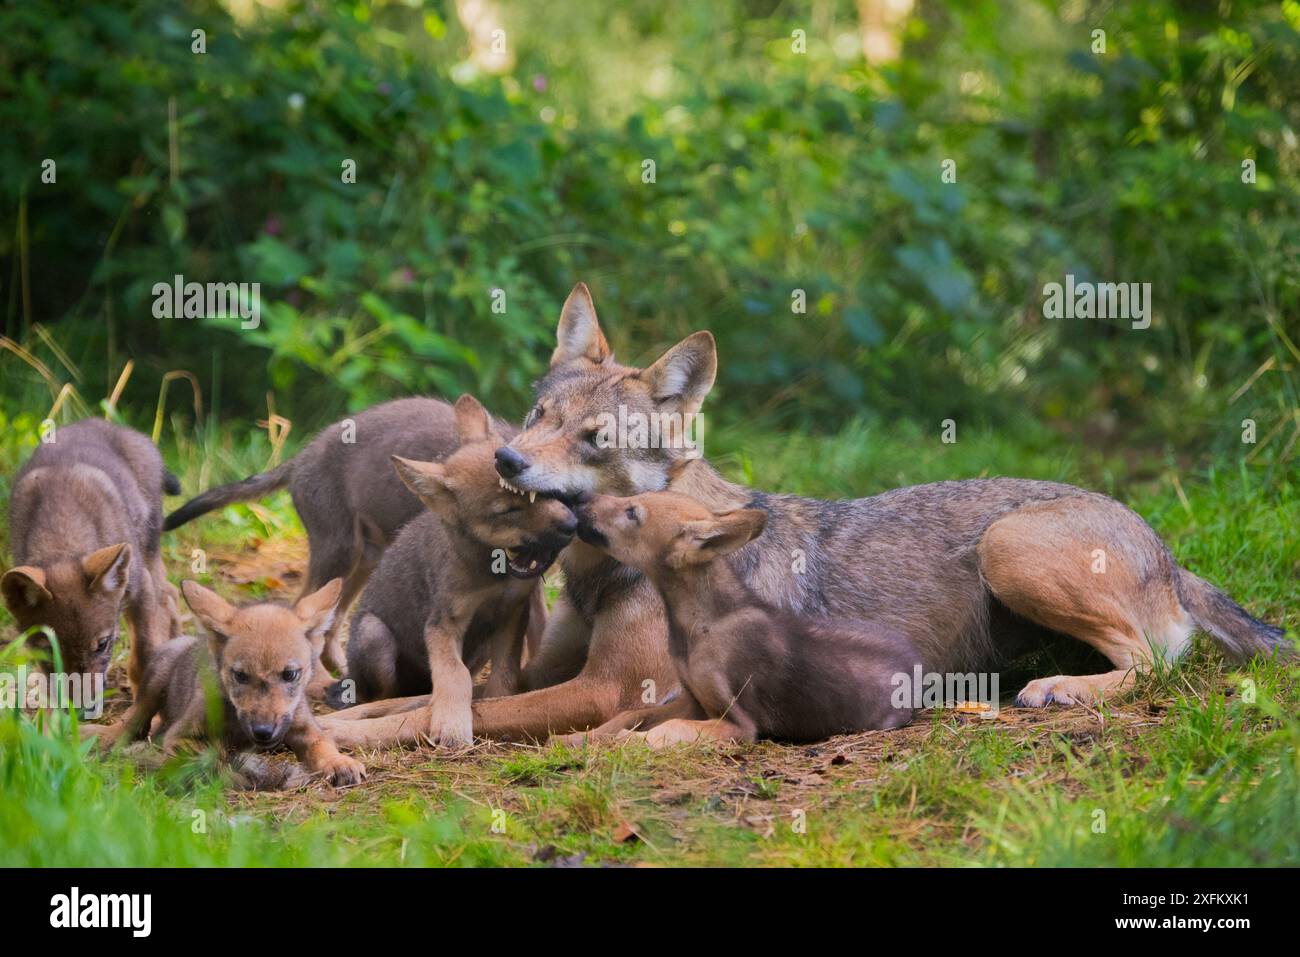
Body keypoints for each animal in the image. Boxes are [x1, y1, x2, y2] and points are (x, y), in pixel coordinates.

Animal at [3, 419, 182, 693]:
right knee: (171, 594)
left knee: (167, 598)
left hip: (148, 551)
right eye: (49, 651)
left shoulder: (140, 588)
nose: (83, 704)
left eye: (102, 645)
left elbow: (143, 657)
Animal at [324, 395, 575, 747]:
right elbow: (455, 675)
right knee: (384, 694)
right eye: (508, 511)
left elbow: (504, 670)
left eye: (536, 493)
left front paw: (496, 703)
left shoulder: (511, 615)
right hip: (375, 636)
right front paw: (452, 726)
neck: (493, 572)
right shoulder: (443, 624)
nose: (572, 524)